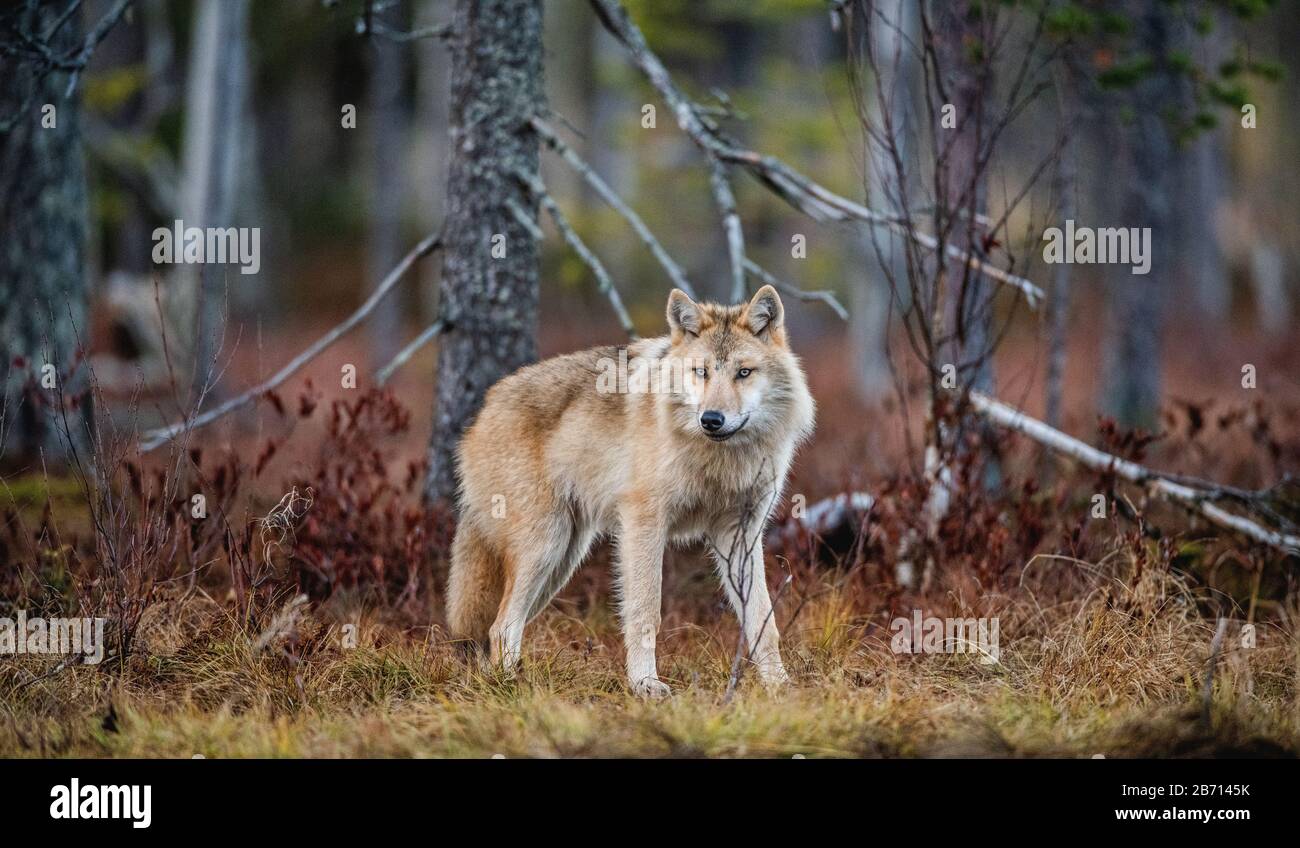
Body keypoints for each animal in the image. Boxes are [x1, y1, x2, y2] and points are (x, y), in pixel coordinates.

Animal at [446, 285, 815, 696]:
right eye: (700, 372)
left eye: (743, 373)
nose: (711, 419)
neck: (719, 458)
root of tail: (484, 409)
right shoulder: (643, 523)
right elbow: (645, 612)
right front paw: (645, 684)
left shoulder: (740, 535)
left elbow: (763, 619)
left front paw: (780, 687)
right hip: (545, 547)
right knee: (501, 624)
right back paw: (511, 686)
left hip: (563, 559)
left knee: (502, 624)